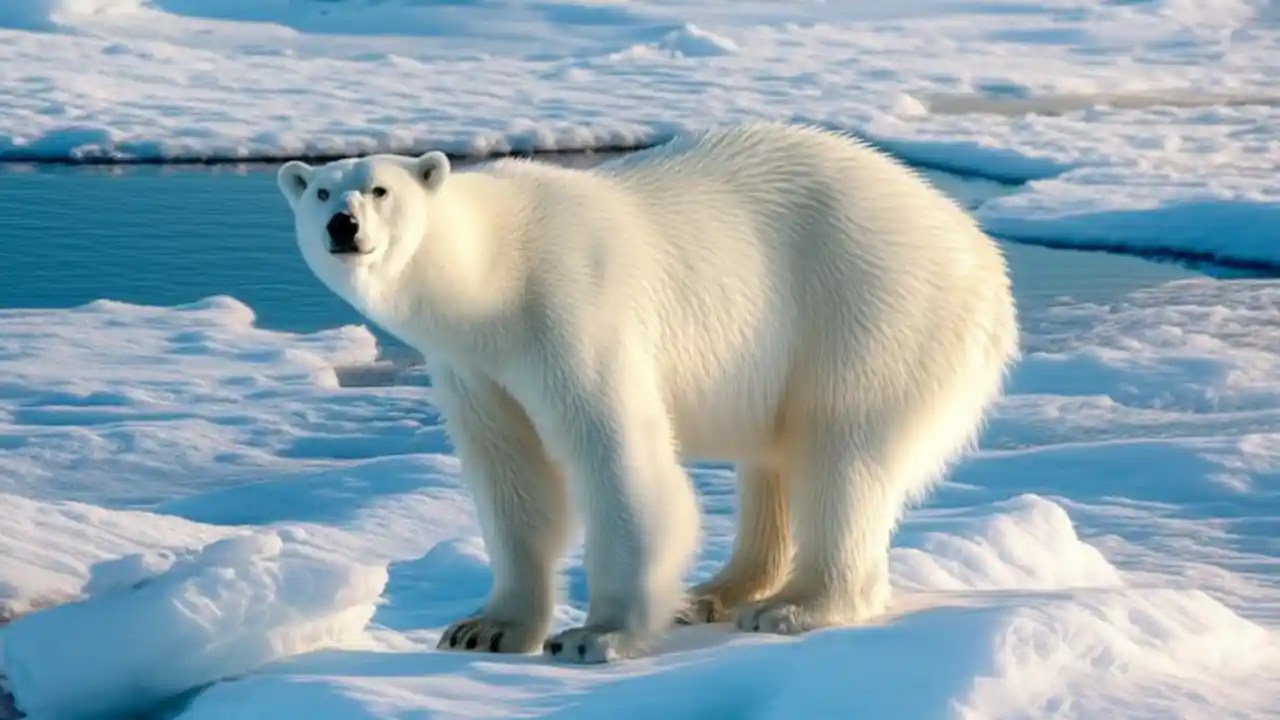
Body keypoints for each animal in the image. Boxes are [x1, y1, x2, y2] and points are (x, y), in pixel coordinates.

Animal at [276, 122, 1019, 664]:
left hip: (870, 310)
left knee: (841, 453)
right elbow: (512, 480)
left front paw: (594, 635)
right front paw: (484, 628)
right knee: (773, 461)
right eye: (320, 193)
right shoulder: (474, 368)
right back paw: (714, 593)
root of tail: (984, 257)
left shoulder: (570, 311)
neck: (495, 275)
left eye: (379, 190)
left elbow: (617, 461)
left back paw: (795, 605)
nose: (343, 226)